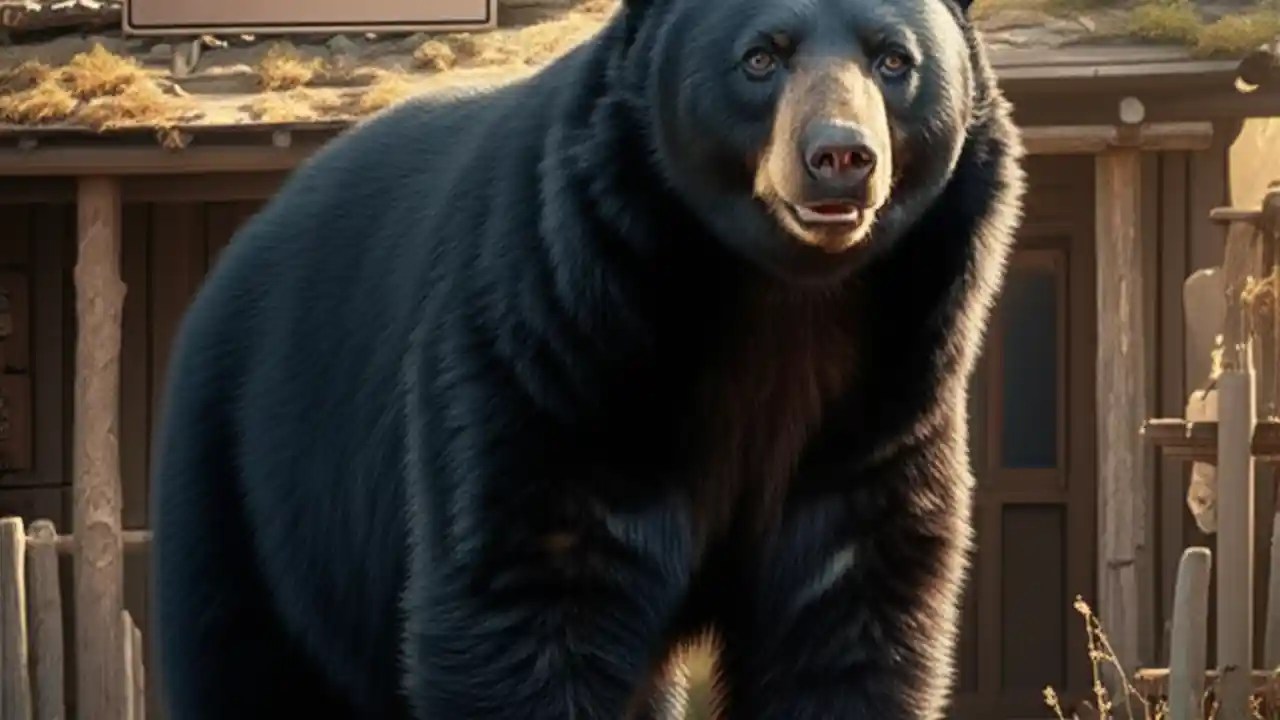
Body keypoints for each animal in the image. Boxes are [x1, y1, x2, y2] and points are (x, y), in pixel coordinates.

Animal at [149, 0, 1025, 716]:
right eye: (760, 58)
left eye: (894, 60)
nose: (841, 156)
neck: (778, 298)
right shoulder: (553, 351)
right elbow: (530, 600)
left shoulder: (882, 410)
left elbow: (846, 619)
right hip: (250, 486)